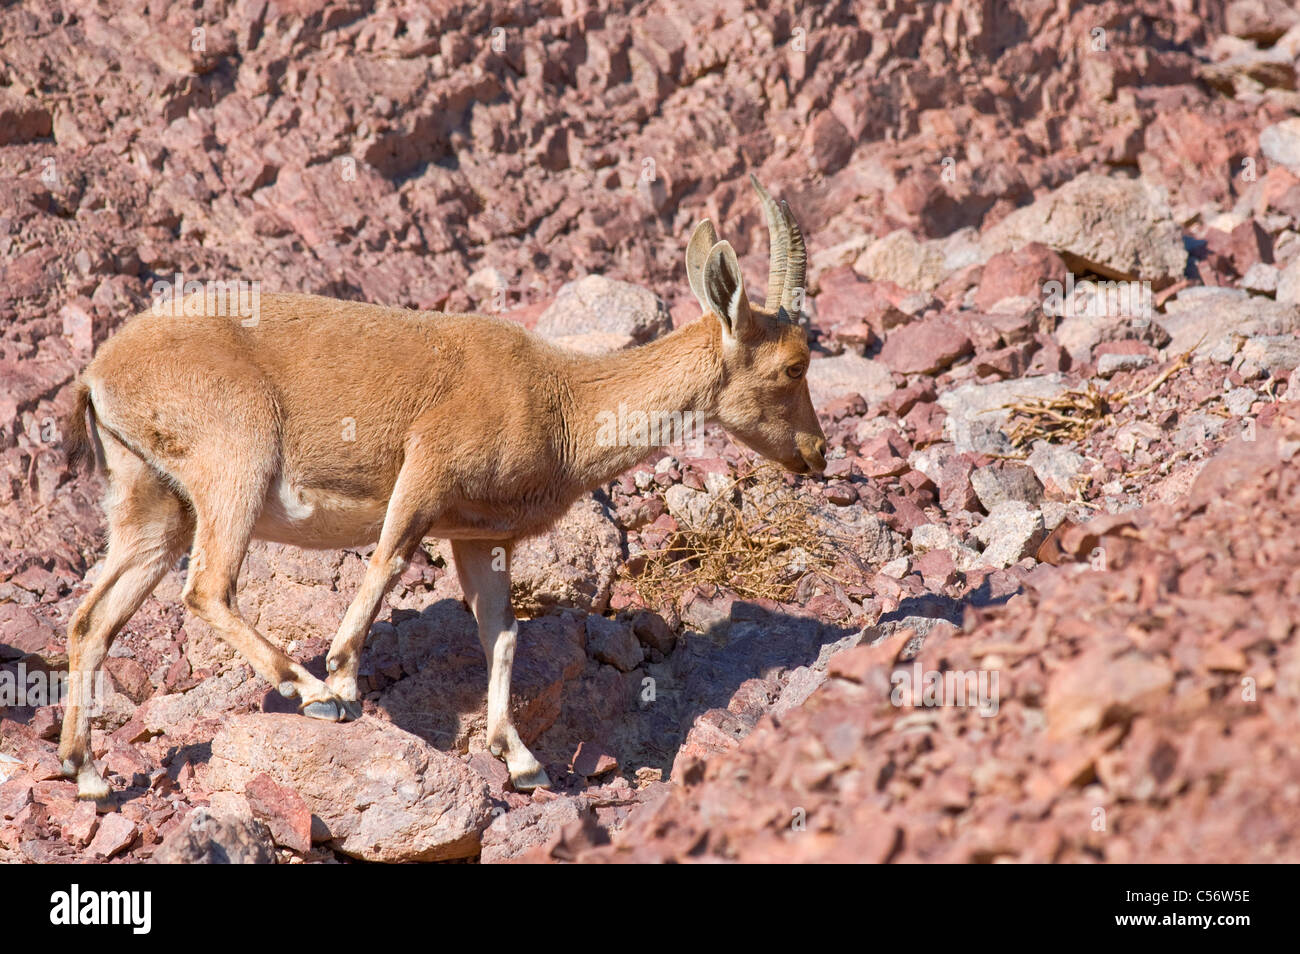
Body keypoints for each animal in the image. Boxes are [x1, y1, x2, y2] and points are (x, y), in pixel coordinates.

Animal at [57, 176, 827, 799]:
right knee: (208, 588)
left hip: (154, 507)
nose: (817, 454)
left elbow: (502, 634)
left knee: (94, 618)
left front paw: (521, 761)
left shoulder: (477, 537)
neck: (561, 403)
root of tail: (100, 374)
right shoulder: (426, 471)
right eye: (795, 365)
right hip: (234, 462)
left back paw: (87, 773)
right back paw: (308, 692)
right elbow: (387, 561)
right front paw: (343, 677)